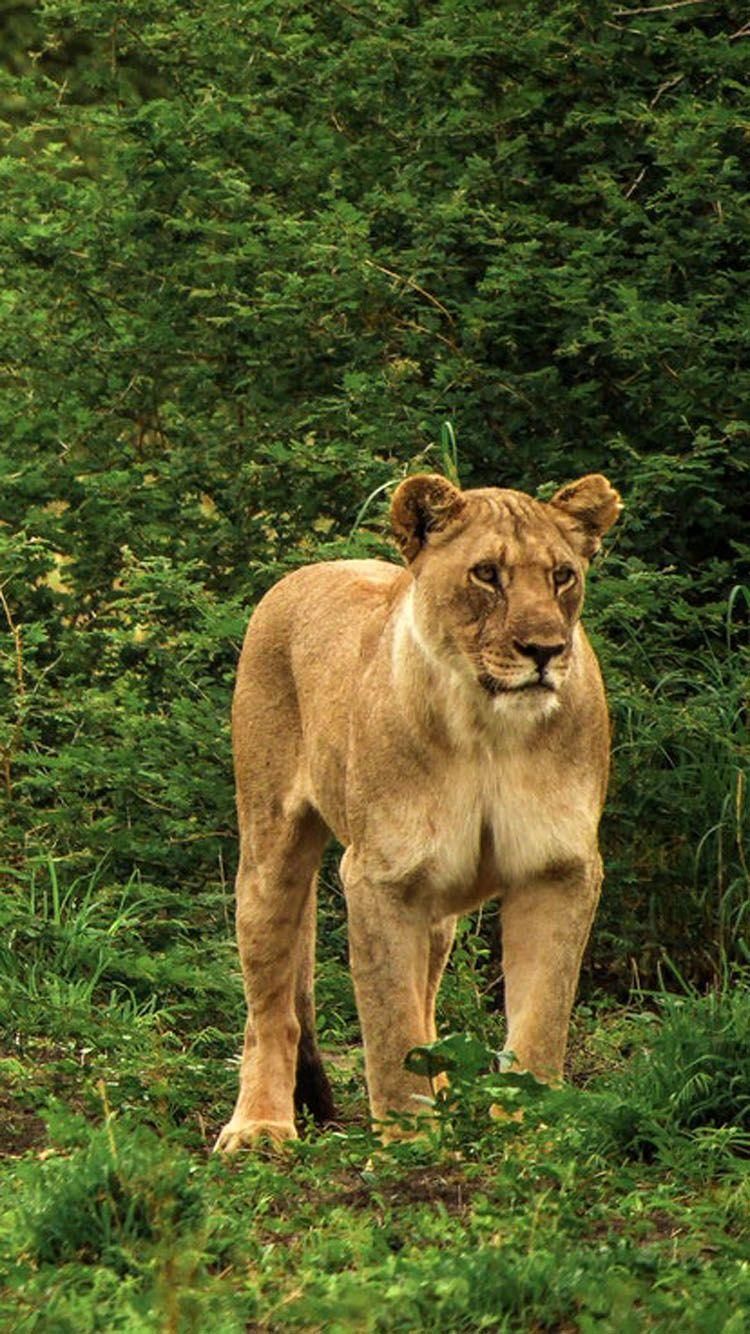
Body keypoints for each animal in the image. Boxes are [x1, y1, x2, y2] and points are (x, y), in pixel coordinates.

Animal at [215, 471, 621, 1151]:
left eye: (563, 575)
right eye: (486, 574)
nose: (544, 649)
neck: (488, 729)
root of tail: (310, 569)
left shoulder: (558, 868)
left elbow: (540, 1018)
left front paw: (527, 1132)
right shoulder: (381, 876)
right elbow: (390, 1026)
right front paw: (408, 1141)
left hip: (438, 912)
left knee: (426, 998)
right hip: (269, 851)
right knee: (270, 1007)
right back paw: (260, 1127)